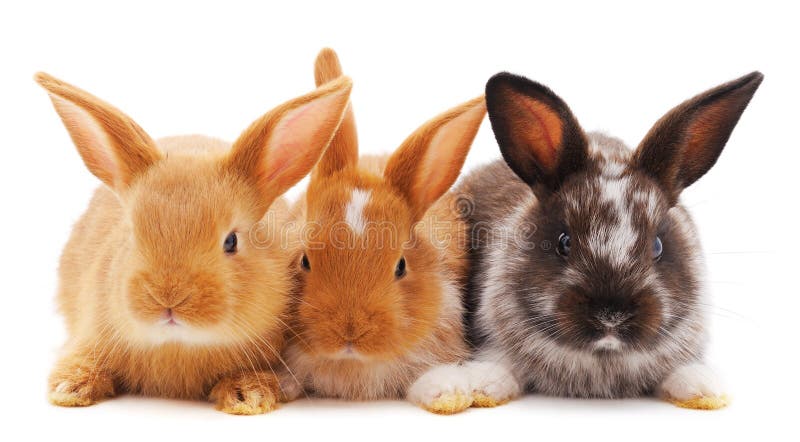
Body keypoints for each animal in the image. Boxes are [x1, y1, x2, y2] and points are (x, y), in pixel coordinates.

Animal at [37, 71, 353, 414]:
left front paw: (247, 396)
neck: (179, 346)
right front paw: (70, 388)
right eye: (131, 232)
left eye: (231, 241)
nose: (169, 296)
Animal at [410, 71, 763, 410]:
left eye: (658, 246)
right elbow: (500, 362)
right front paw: (478, 387)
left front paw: (705, 389)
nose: (611, 315)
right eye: (563, 242)